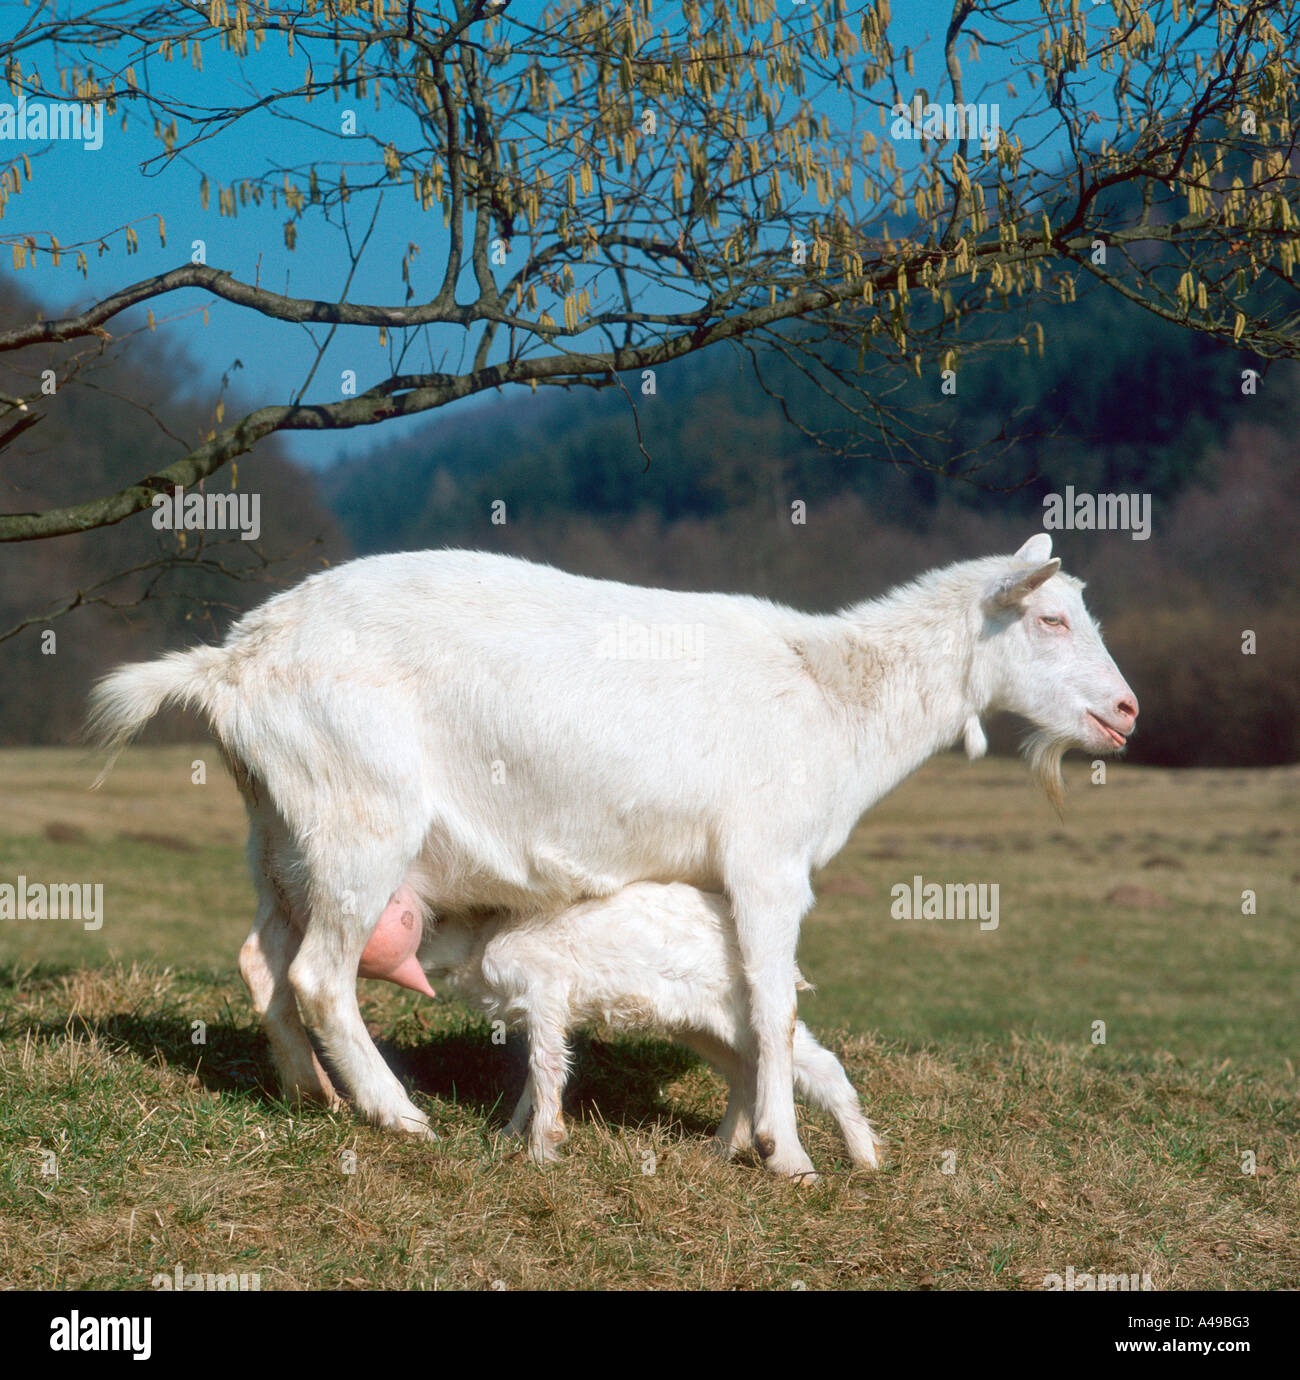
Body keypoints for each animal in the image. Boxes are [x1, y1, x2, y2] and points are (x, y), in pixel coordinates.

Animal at [89, 534, 1137, 1179]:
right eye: (1050, 620)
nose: (1125, 712)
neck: (832, 698)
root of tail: (232, 664)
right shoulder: (767, 860)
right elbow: (772, 996)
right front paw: (786, 1153)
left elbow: (743, 1004)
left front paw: (738, 1138)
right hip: (360, 818)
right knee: (318, 973)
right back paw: (396, 1113)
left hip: (279, 826)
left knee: (262, 956)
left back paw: (315, 1096)